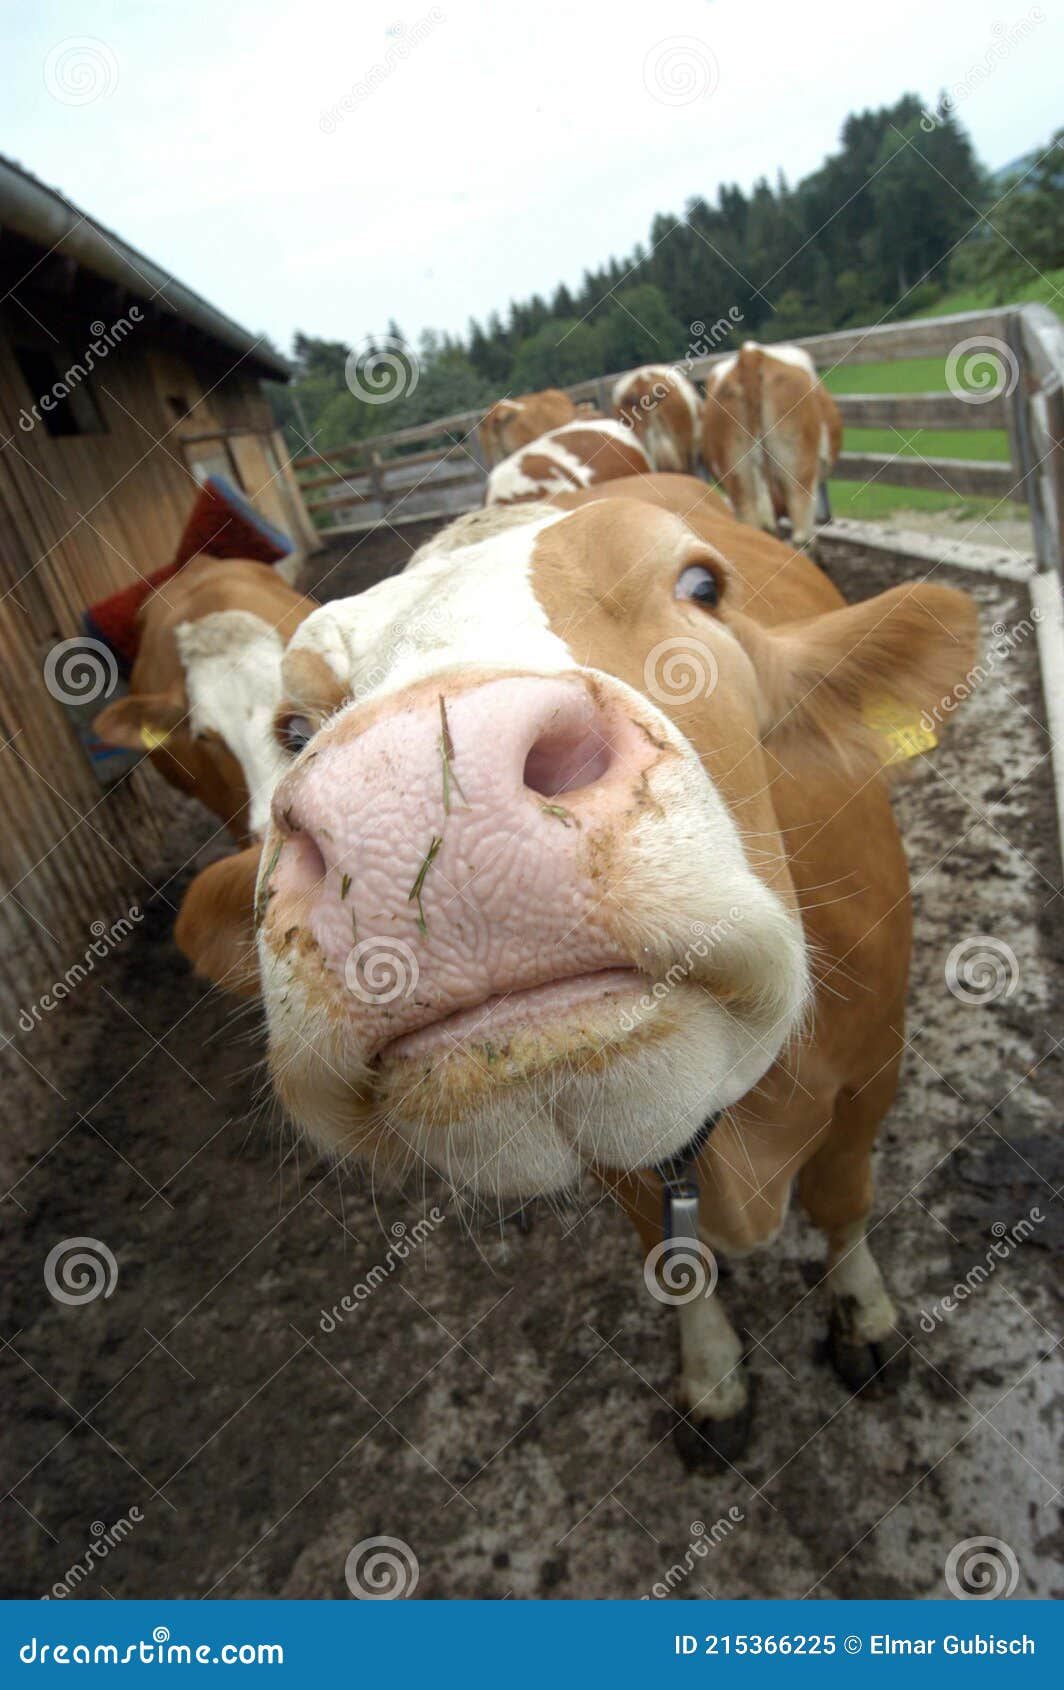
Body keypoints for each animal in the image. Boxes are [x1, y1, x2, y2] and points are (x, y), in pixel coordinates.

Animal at [175, 473, 977, 1462]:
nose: (410, 787)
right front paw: (713, 1377)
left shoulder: (871, 1069)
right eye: (292, 726)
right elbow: (671, 1258)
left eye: (703, 586)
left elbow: (841, 1200)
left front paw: (863, 1316)